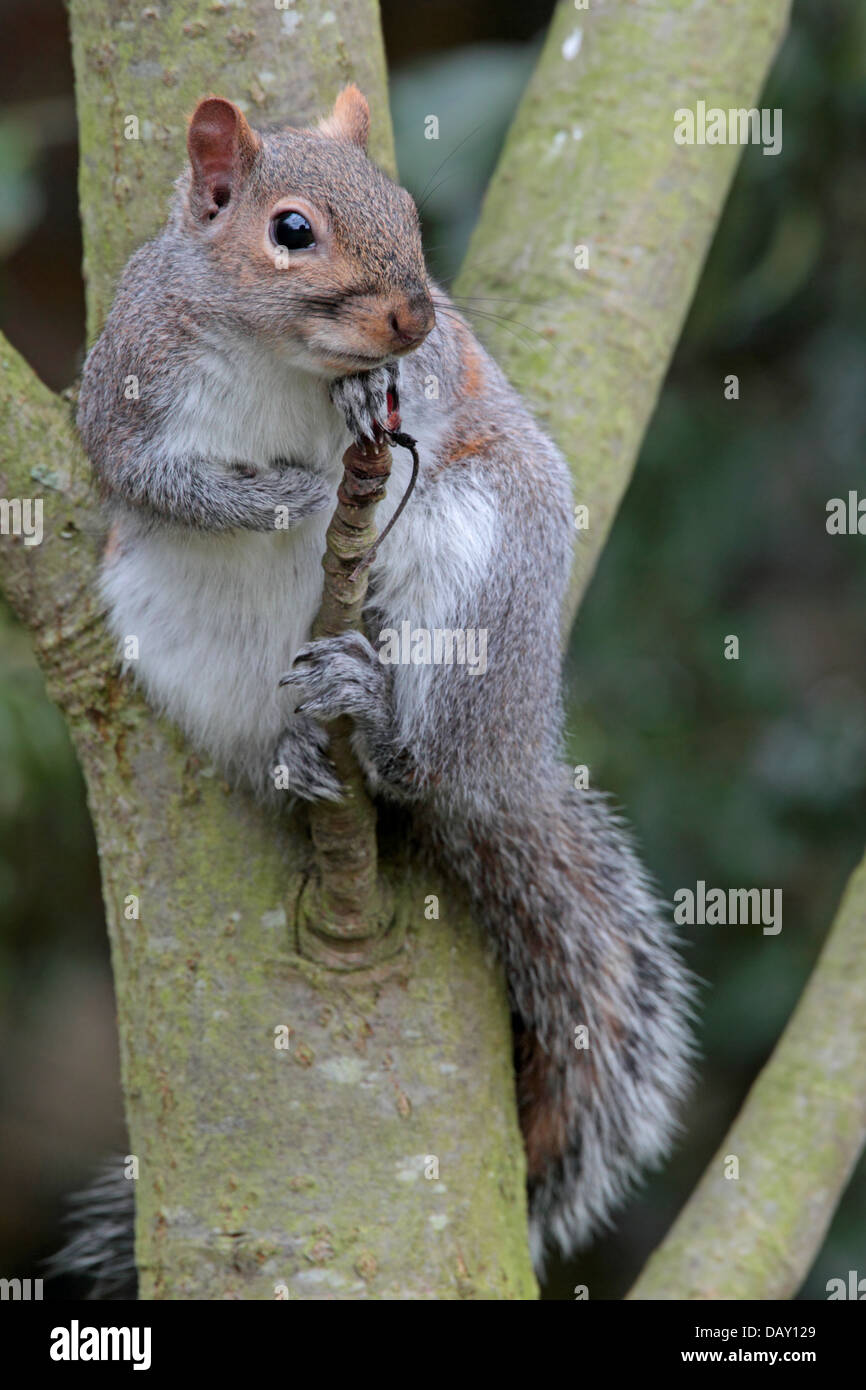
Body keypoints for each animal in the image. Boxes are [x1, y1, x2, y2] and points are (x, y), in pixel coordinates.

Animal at [62, 85, 693, 1291]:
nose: (406, 318)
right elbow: (150, 478)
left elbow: (428, 391)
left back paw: (379, 716)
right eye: (290, 230)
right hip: (183, 632)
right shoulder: (126, 393)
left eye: (406, 210)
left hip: (483, 567)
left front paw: (364, 401)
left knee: (425, 758)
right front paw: (289, 494)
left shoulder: (443, 379)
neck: (275, 356)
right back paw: (297, 749)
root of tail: (510, 753)